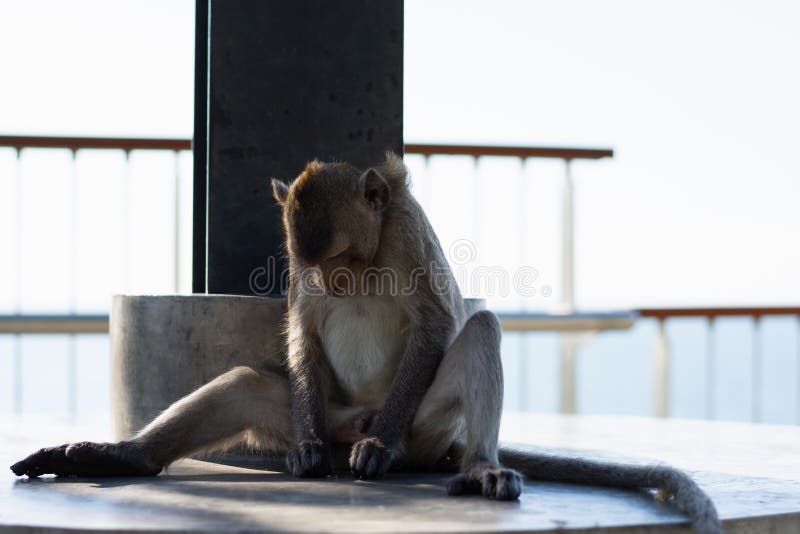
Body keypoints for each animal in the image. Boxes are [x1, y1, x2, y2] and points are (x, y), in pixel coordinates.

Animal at [10, 153, 722, 534]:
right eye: (321, 268)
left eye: (345, 261)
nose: (334, 281)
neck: (375, 249)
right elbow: (300, 329)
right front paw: (304, 448)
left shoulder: (408, 233)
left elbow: (437, 323)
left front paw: (379, 448)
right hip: (329, 414)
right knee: (248, 387)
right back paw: (124, 457)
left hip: (428, 429)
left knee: (479, 334)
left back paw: (472, 465)